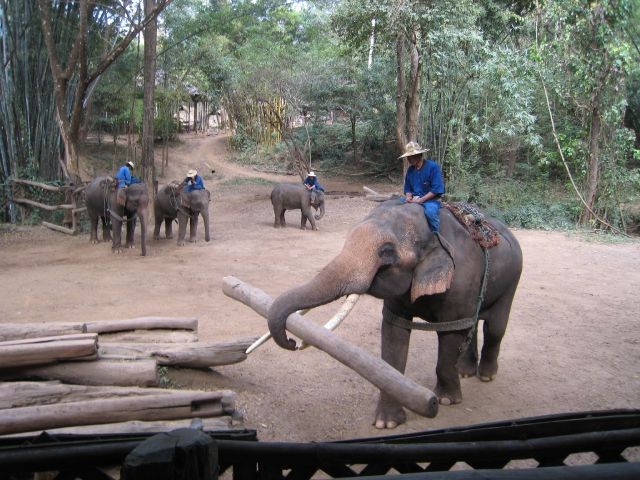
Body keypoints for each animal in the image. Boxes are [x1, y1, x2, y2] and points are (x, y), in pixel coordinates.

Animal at [267, 199, 522, 429]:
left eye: (387, 252)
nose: (292, 342)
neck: (433, 232)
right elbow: (394, 335)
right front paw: (386, 423)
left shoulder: (460, 281)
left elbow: (451, 332)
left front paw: (446, 400)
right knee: (472, 323)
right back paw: (466, 372)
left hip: (512, 280)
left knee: (495, 327)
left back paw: (486, 376)